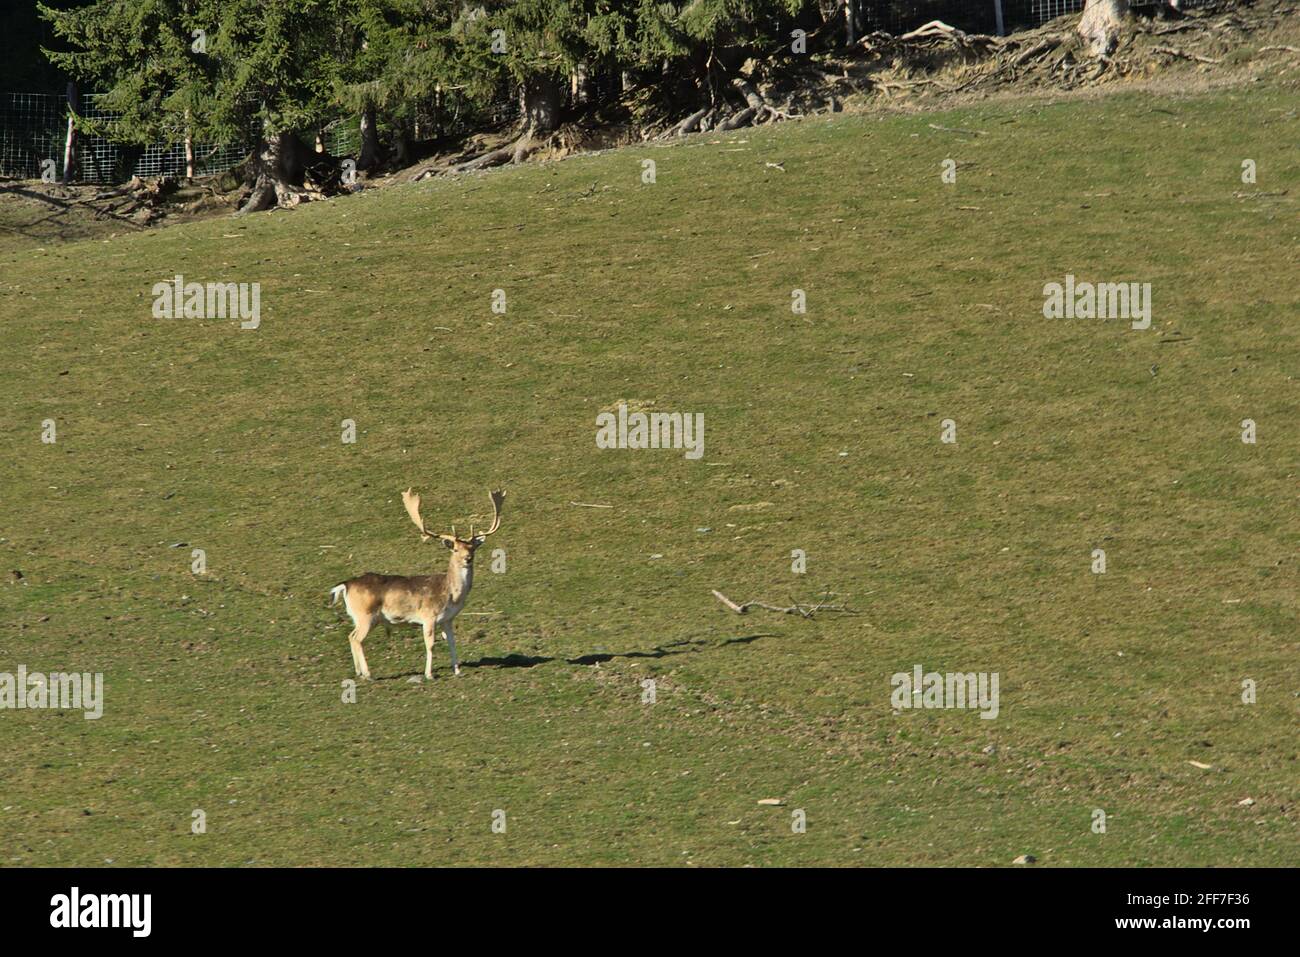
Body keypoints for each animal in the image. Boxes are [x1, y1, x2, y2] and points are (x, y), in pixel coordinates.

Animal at [329, 488, 504, 681]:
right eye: (455, 549)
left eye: (472, 548)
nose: (468, 558)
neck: (451, 595)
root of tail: (346, 585)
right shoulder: (428, 616)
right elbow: (430, 644)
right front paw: (429, 674)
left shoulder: (448, 619)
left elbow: (452, 642)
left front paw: (457, 670)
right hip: (365, 615)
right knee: (356, 639)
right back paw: (368, 674)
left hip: (361, 618)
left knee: (350, 636)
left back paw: (359, 672)